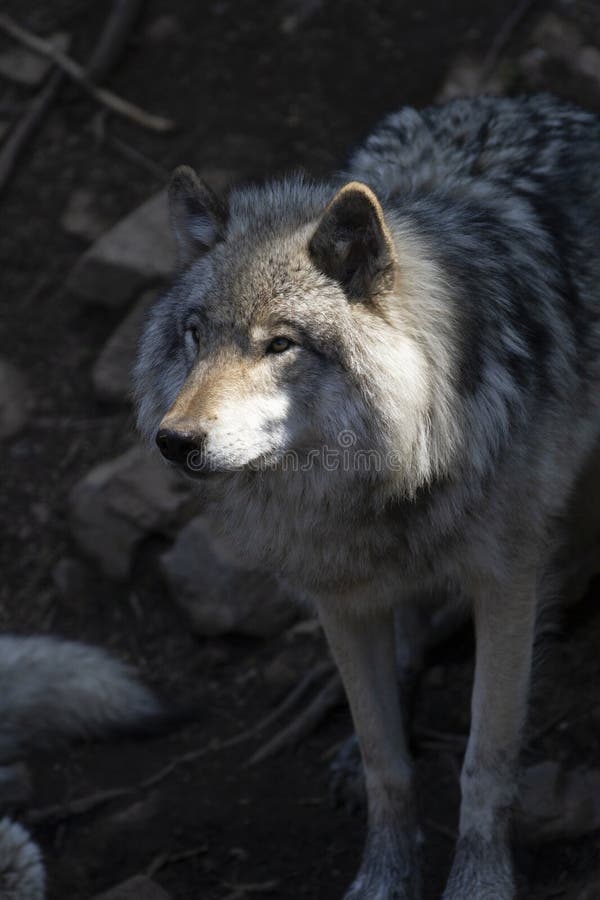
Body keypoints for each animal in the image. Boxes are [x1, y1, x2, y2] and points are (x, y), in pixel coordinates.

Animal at [134, 94, 600, 899]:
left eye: (280, 344)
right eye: (194, 336)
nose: (176, 440)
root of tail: (534, 100)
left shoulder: (506, 581)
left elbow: (487, 758)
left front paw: (478, 881)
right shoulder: (340, 596)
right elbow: (388, 763)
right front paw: (384, 875)